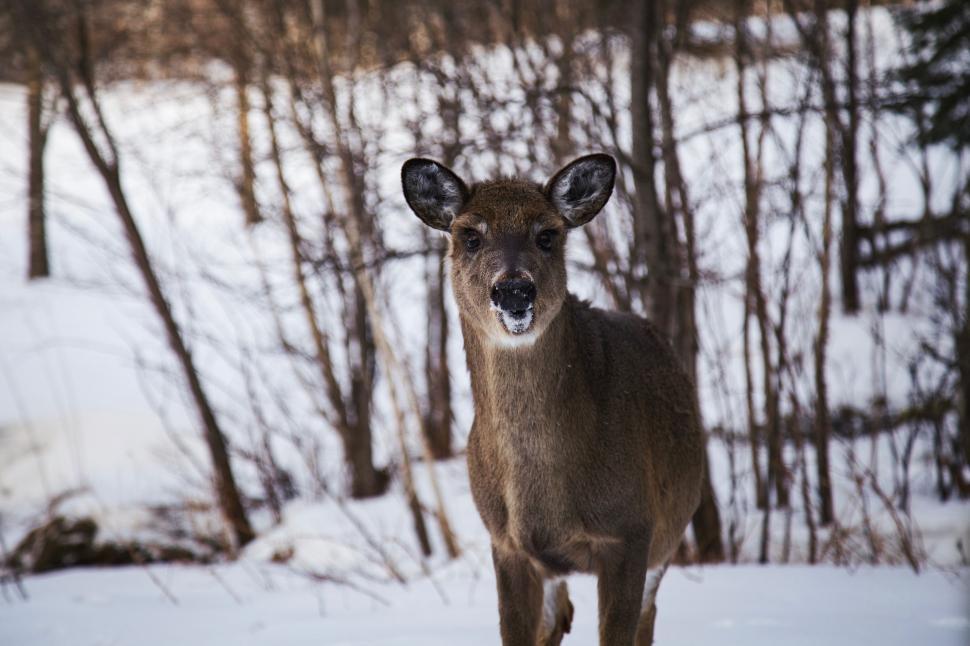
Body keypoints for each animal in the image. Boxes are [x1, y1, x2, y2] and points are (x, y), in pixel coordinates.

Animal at [401, 153, 703, 646]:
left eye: (547, 234)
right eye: (470, 235)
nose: (514, 290)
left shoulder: (631, 530)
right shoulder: (506, 543)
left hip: (669, 536)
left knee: (646, 618)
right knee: (559, 617)